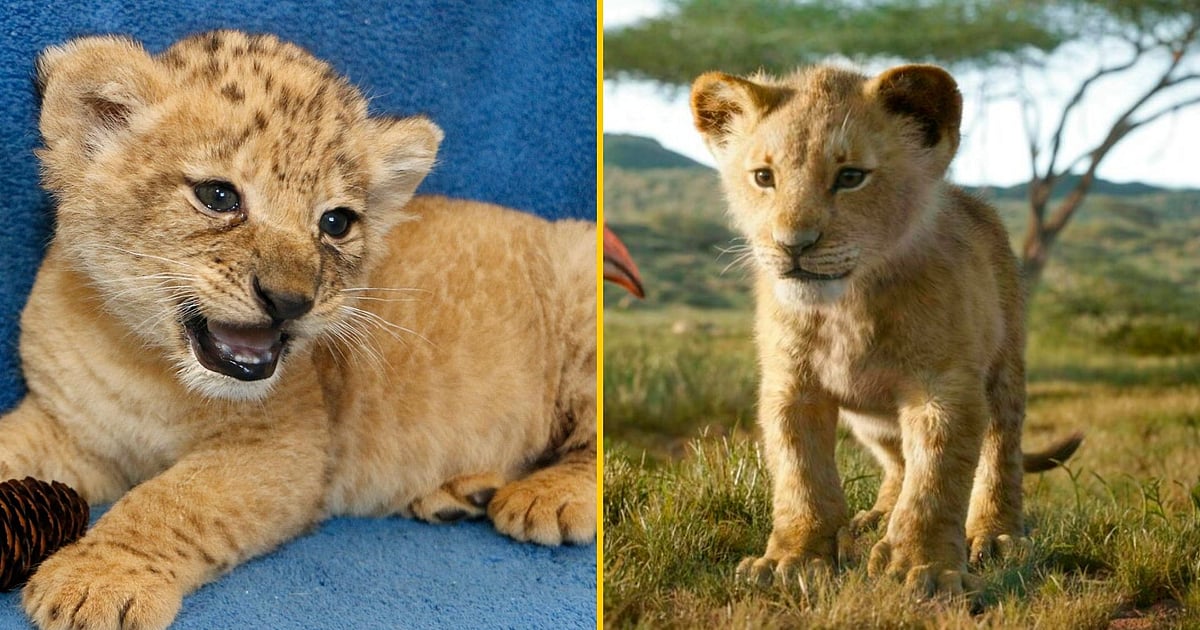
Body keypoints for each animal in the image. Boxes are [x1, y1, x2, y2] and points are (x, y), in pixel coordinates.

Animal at [0, 31, 594, 629]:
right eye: (219, 197)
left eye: (336, 222)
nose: (290, 301)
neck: (146, 364)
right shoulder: (69, 429)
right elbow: (14, 443)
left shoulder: (286, 449)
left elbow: (170, 502)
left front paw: (96, 579)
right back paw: (459, 493)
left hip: (581, 273)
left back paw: (546, 497)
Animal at [690, 63, 1079, 596]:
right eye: (764, 177)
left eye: (851, 177)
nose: (793, 245)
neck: (847, 308)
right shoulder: (791, 387)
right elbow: (800, 474)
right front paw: (793, 559)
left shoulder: (944, 387)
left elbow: (936, 480)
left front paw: (925, 567)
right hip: (871, 419)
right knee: (897, 462)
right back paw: (874, 518)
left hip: (1004, 369)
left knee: (1000, 451)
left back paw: (995, 535)